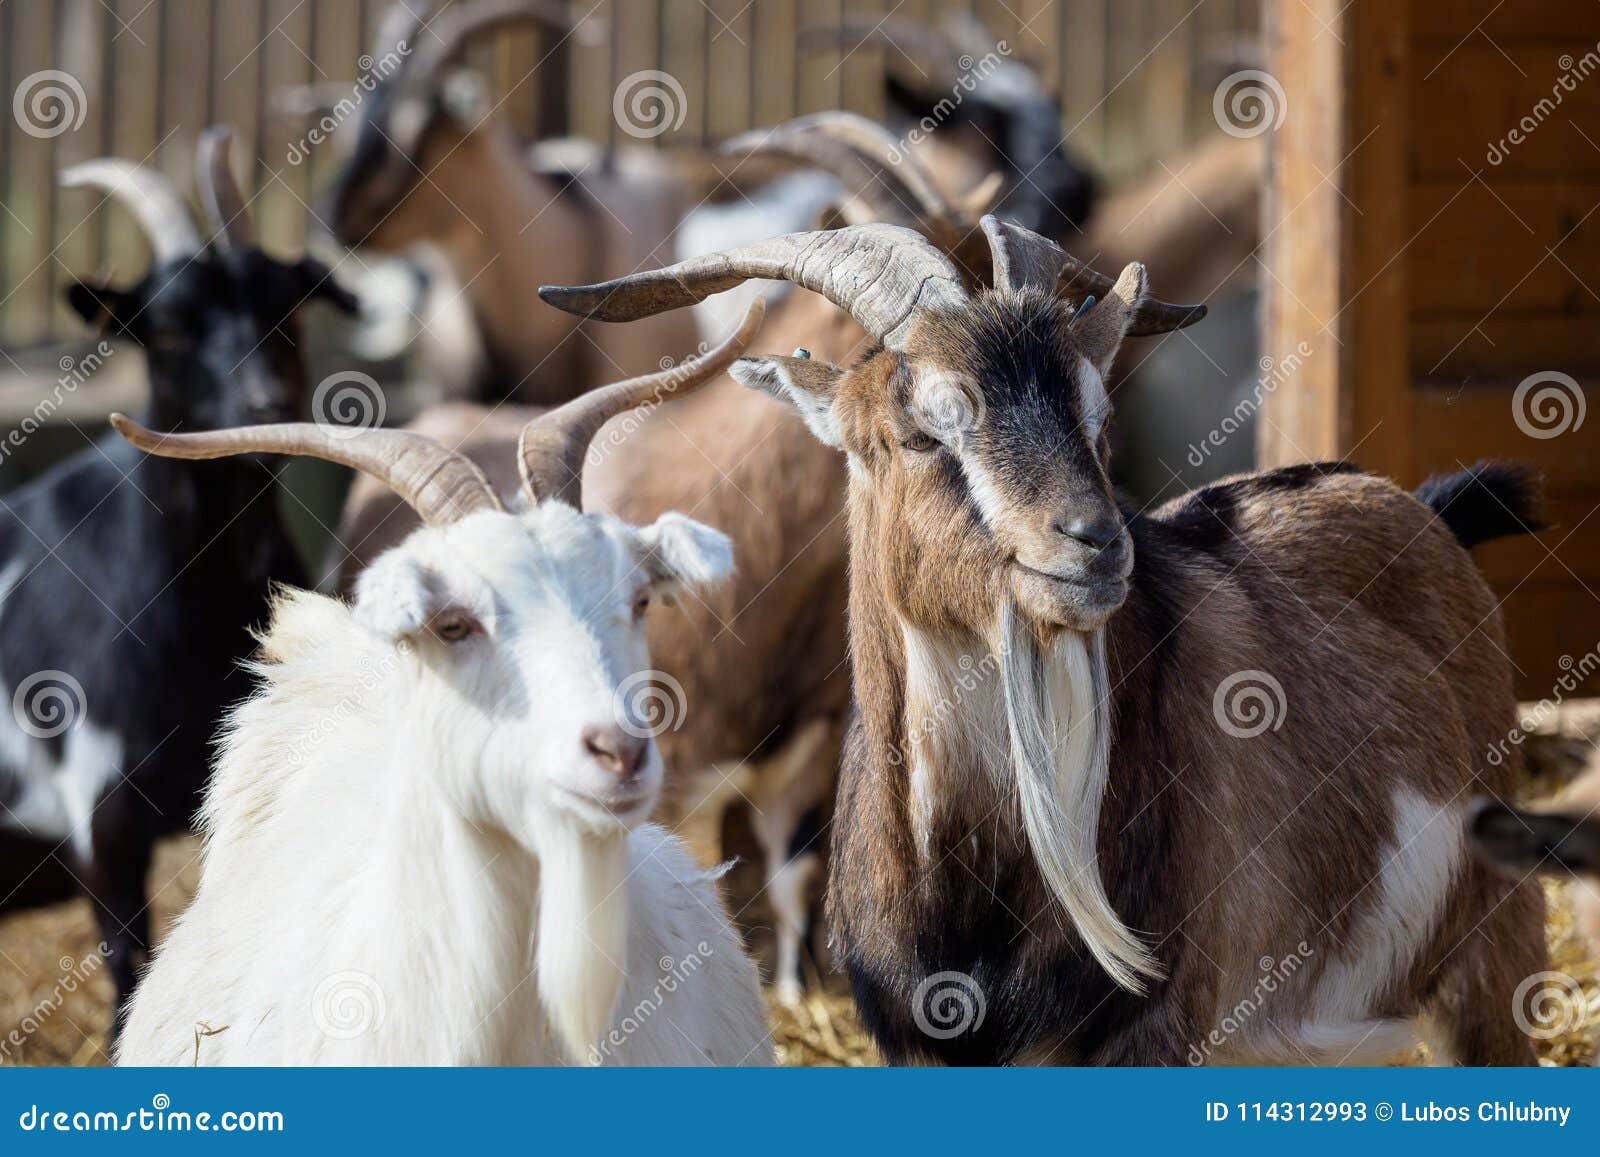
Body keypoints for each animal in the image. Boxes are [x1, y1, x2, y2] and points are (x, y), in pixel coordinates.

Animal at [541, 217, 1550, 1066]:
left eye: (1096, 420)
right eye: (919, 431)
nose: (1096, 542)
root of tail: (1420, 509)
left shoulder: (1151, 1037)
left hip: (1492, 955)